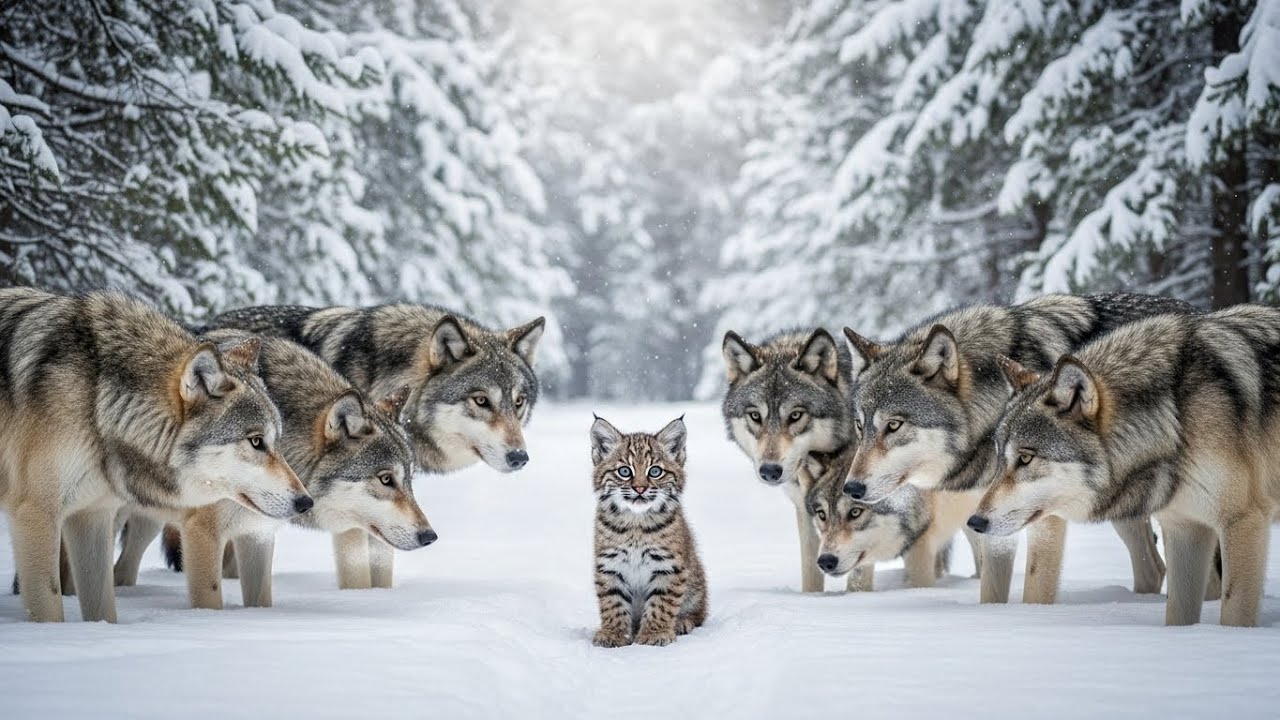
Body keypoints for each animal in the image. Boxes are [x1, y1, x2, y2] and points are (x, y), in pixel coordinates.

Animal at [0, 289, 307, 622]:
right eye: (256, 441)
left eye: (276, 441)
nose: (305, 502)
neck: (97, 401)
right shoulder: (35, 514)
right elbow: (49, 606)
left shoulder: (91, 515)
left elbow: (102, 605)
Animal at [203, 303, 543, 587]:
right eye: (482, 401)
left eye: (519, 402)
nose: (519, 457)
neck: (379, 377)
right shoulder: (353, 514)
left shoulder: (385, 514)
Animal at [840, 293, 1191, 603]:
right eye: (860, 425)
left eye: (894, 425)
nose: (851, 488)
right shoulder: (988, 519)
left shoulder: (1043, 519)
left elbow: (1035, 588)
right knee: (1154, 569)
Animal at [970, 305, 1280, 626]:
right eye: (999, 457)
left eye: (1025, 458)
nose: (975, 522)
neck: (1177, 418)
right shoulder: (1184, 527)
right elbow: (1178, 613)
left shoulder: (1243, 521)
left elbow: (1234, 613)